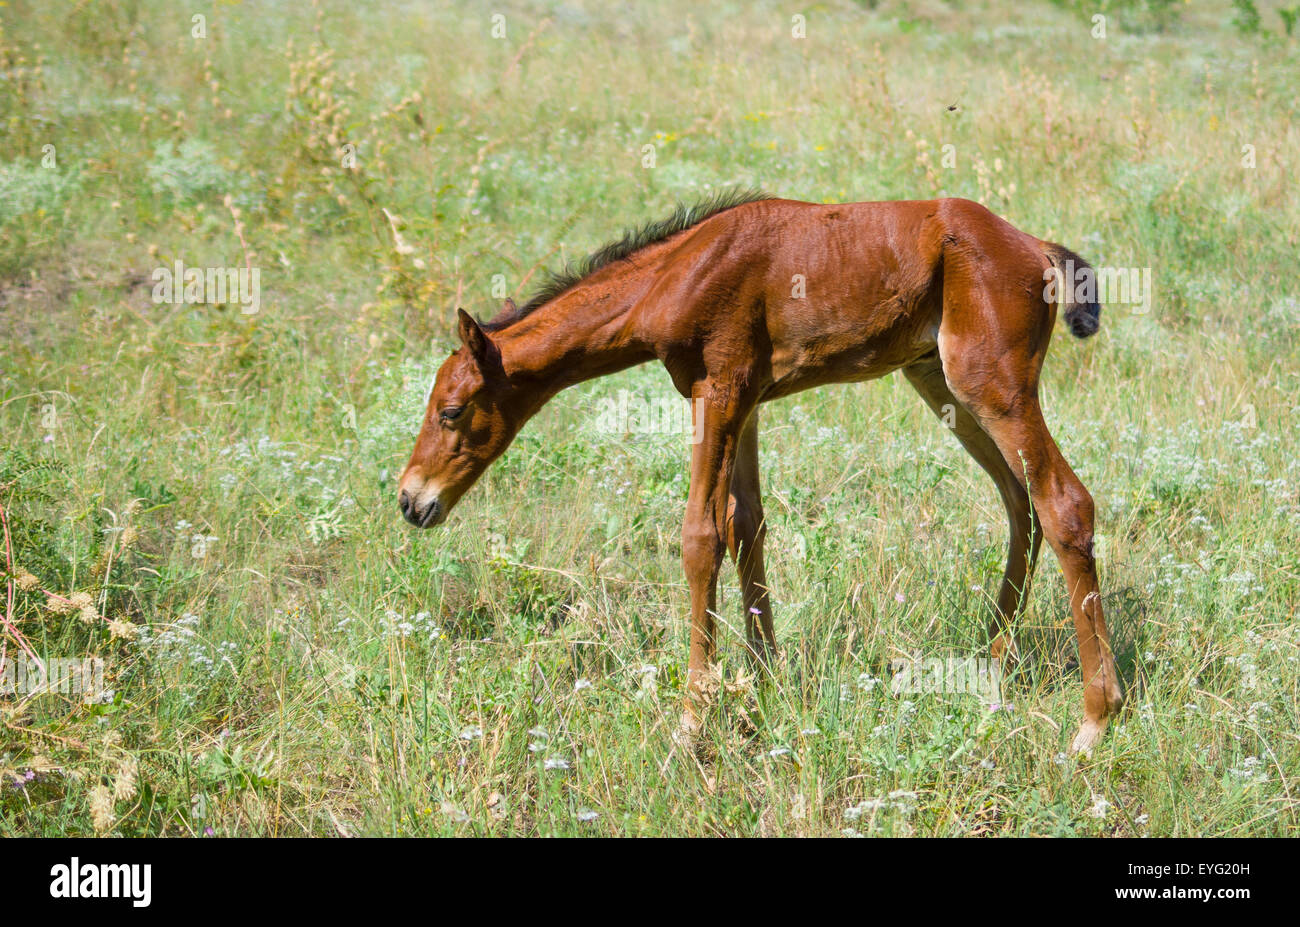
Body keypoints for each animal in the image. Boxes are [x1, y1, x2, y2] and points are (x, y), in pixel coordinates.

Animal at [398, 189, 1124, 754]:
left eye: (451, 410)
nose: (411, 500)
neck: (678, 271)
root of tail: (1035, 247)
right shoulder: (744, 400)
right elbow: (746, 525)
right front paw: (763, 685)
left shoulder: (716, 391)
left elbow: (699, 538)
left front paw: (693, 720)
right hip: (939, 380)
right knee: (1019, 502)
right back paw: (989, 668)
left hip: (989, 383)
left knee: (1064, 503)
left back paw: (1094, 720)